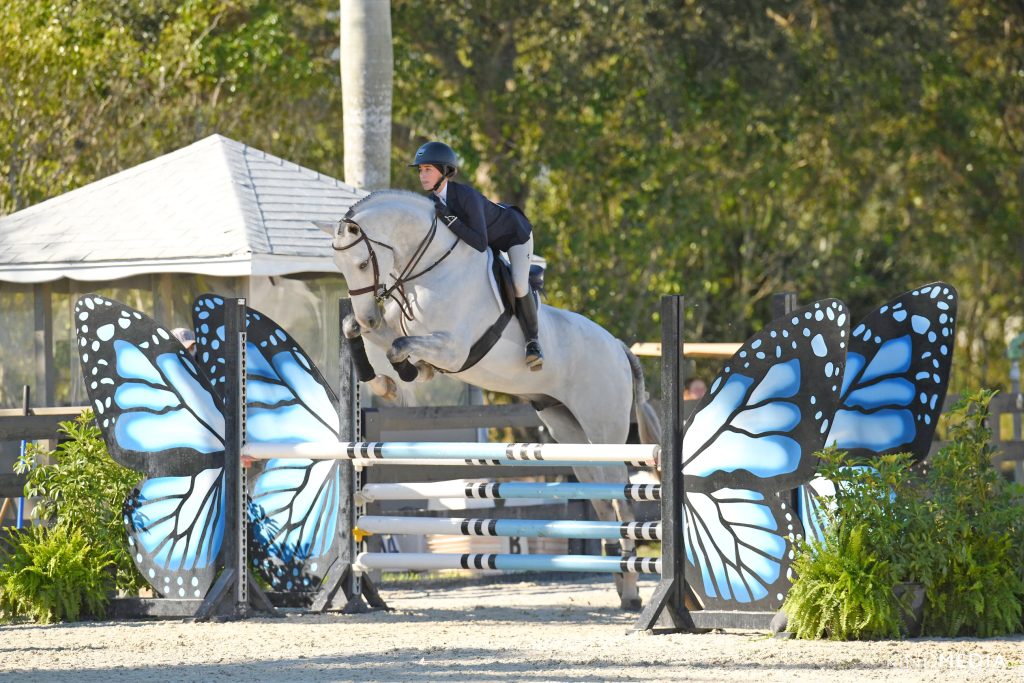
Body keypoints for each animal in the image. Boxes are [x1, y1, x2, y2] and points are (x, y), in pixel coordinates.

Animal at [316, 190, 661, 609]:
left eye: (364, 262)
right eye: (338, 265)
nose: (368, 315)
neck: (428, 271)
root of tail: (618, 348)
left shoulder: (453, 350)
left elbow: (400, 346)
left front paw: (405, 377)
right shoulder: (395, 329)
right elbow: (364, 332)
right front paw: (385, 382)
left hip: (603, 429)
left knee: (621, 497)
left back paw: (632, 590)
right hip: (569, 430)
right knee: (599, 497)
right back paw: (621, 584)